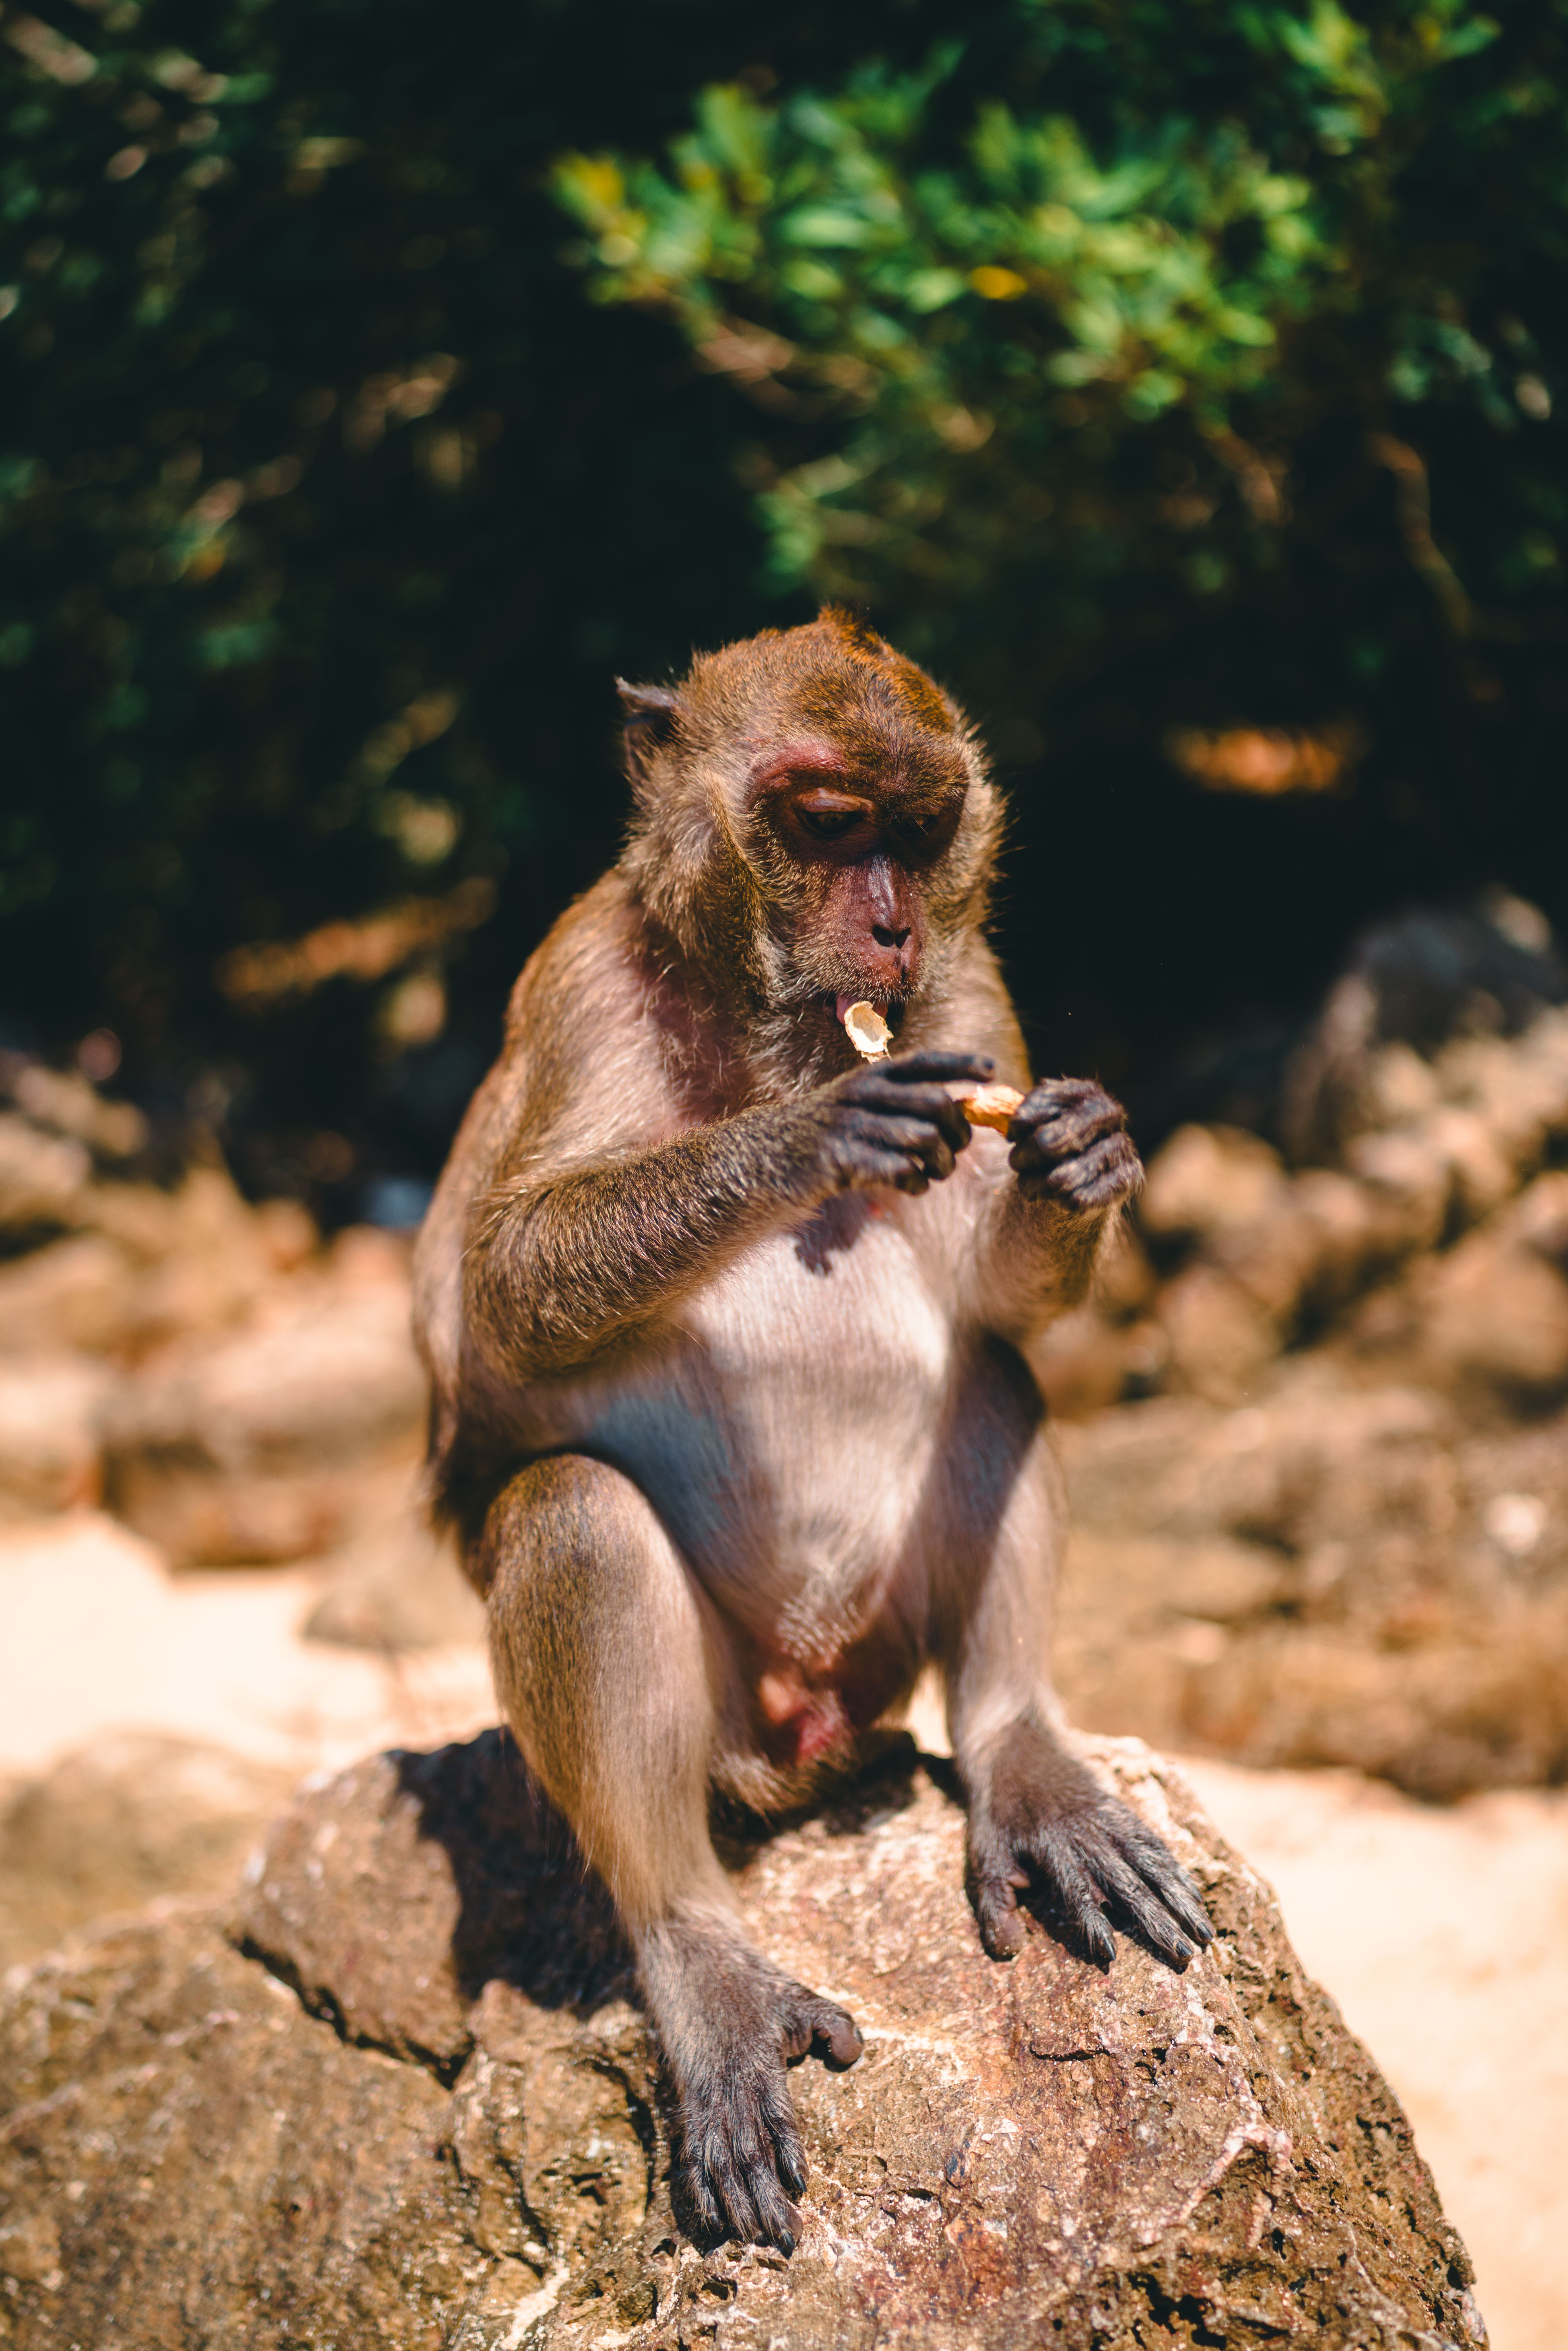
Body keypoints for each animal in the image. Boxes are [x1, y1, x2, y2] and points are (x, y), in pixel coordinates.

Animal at [411, 607, 1212, 2256]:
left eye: (918, 831)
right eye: (832, 824)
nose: (893, 927)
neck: (763, 1023)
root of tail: (812, 1724)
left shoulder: (965, 1002)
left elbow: (995, 1295)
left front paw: (1077, 1154)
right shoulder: (582, 980)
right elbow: (504, 1284)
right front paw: (808, 1139)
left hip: (887, 1639)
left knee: (991, 1379)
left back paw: (1018, 1751)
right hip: (731, 1725)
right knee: (574, 1512)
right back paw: (697, 1958)